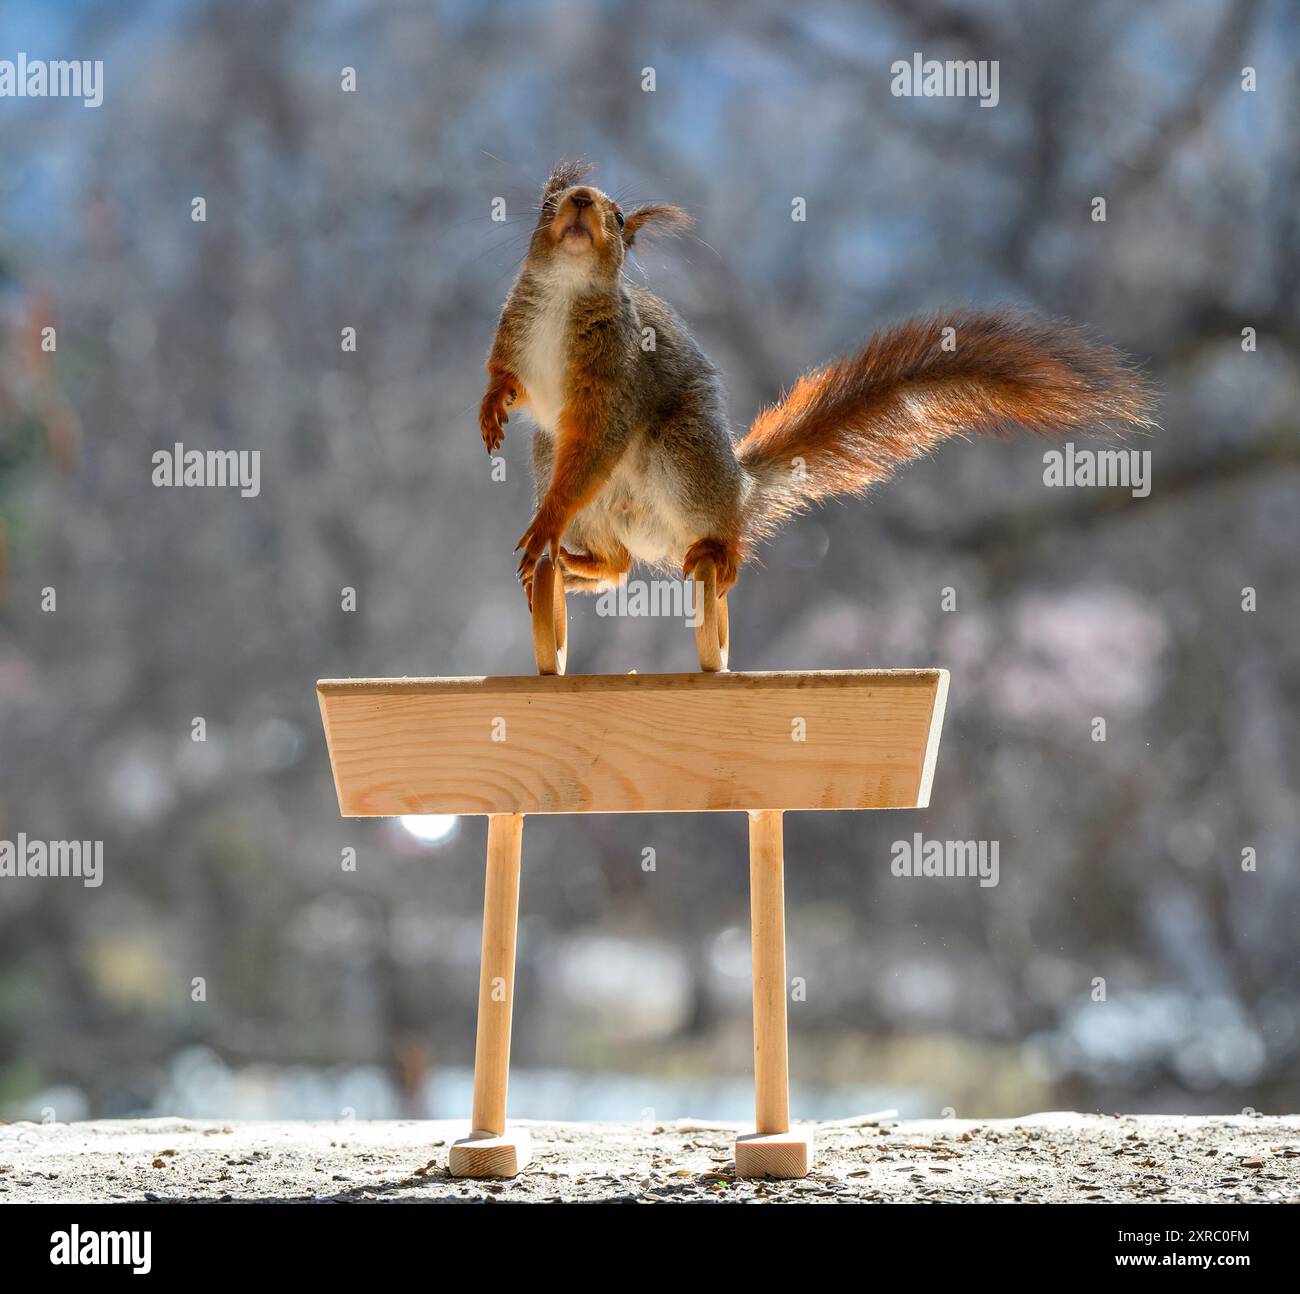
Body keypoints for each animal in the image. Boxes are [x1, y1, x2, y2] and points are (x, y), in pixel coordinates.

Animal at [481, 160, 1154, 604]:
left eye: (618, 216)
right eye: (550, 202)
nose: (579, 200)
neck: (565, 291)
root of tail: (741, 490)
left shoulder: (615, 373)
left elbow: (600, 433)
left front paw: (546, 521)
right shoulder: (516, 331)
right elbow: (506, 375)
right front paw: (494, 407)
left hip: (683, 450)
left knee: (703, 532)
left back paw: (717, 551)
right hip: (556, 456)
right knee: (619, 564)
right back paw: (580, 565)